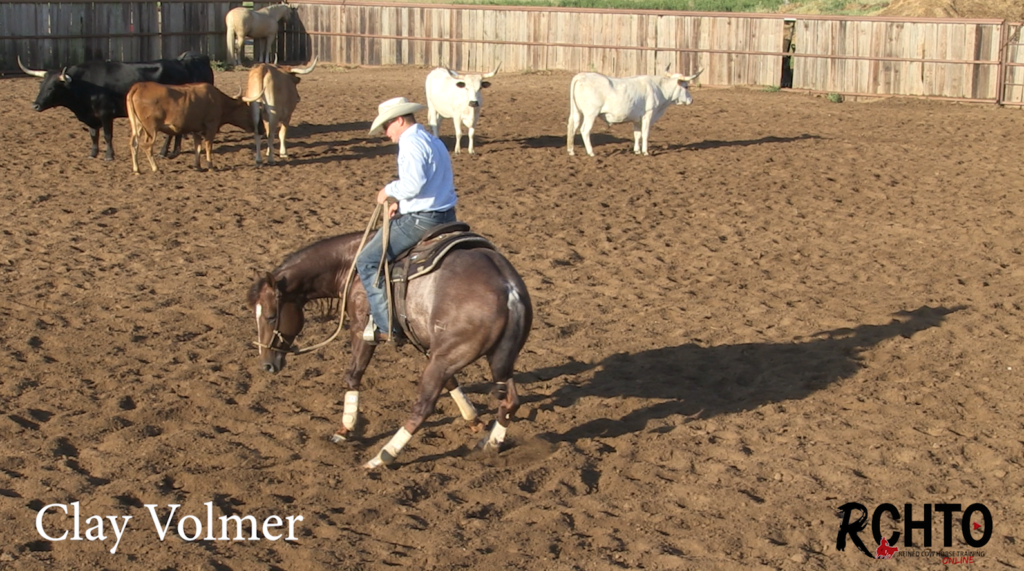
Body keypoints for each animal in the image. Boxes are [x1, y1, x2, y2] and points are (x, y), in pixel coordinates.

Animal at [18, 53, 215, 161]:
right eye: (41, 86)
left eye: (52, 87)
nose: (35, 105)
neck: (86, 84)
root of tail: (180, 63)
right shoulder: (92, 116)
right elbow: (93, 135)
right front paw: (93, 153)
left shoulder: (106, 114)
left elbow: (107, 135)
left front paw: (109, 156)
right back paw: (170, 152)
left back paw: (165, 152)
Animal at [126, 82, 258, 174]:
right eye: (247, 110)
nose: (254, 126)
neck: (219, 101)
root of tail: (139, 86)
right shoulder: (211, 127)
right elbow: (208, 146)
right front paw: (211, 167)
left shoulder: (196, 130)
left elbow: (197, 147)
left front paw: (198, 166)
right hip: (151, 128)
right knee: (147, 146)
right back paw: (156, 168)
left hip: (138, 125)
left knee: (134, 143)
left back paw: (137, 169)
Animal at [247, 230, 533, 469]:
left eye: (271, 316)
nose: (267, 365)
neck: (350, 265)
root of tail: (509, 289)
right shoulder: (430, 347)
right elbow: (453, 382)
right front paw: (474, 420)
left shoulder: (362, 331)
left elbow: (352, 376)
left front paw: (344, 430)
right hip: (485, 359)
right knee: (510, 400)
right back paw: (490, 444)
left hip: (446, 359)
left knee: (422, 408)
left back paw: (381, 457)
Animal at [566, 66, 703, 157]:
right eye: (686, 86)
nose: (691, 100)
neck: (658, 89)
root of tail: (581, 76)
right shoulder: (648, 114)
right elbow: (645, 133)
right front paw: (645, 152)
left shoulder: (637, 118)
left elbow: (637, 134)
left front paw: (637, 150)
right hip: (591, 114)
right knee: (584, 130)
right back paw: (591, 152)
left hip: (577, 112)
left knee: (572, 128)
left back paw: (571, 151)